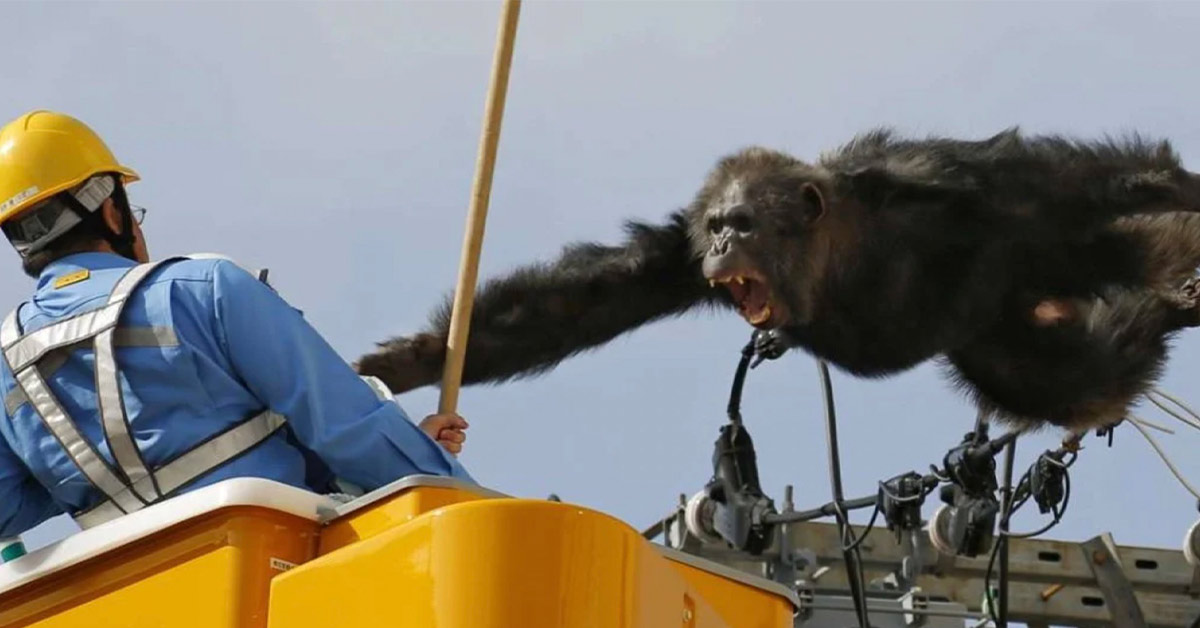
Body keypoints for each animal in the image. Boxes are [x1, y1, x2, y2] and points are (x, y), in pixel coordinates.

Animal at [356, 128, 1200, 435]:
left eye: (742, 222)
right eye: (716, 225)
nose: (725, 244)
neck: (842, 250)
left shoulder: (960, 187)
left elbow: (1083, 181)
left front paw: (1180, 188)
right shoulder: (678, 258)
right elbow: (579, 302)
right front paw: (415, 359)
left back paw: (1173, 287)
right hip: (1005, 345)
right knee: (1068, 380)